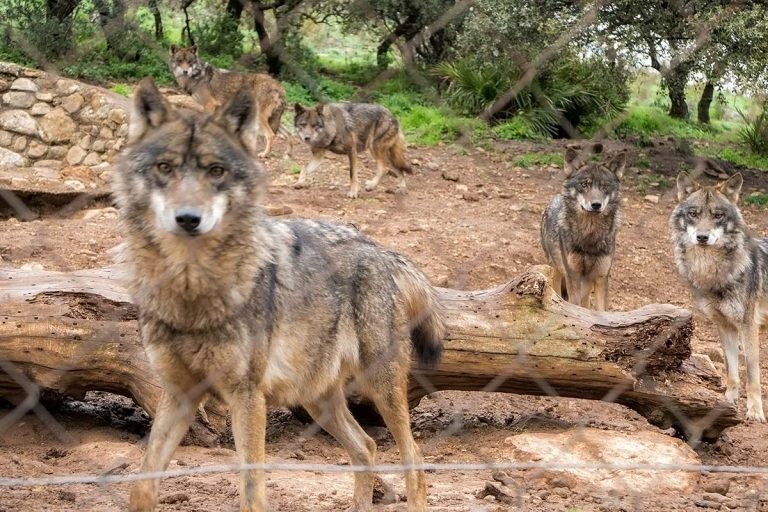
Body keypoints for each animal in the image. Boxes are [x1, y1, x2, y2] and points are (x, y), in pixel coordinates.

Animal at [114, 77, 445, 511]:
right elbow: (142, 484)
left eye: (216, 171)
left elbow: (252, 493)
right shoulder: (180, 394)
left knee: (415, 460)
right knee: (367, 447)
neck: (192, 292)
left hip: (382, 388)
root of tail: (382, 249)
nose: (188, 219)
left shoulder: (247, 397)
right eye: (164, 168)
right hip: (317, 400)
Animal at [540, 143, 626, 311]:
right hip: (557, 268)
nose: (596, 205)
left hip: (587, 282)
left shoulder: (601, 277)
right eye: (584, 184)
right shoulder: (573, 276)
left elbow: (600, 310)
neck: (589, 235)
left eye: (604, 187)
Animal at [671, 170, 766, 422]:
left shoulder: (748, 325)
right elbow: (731, 371)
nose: (702, 237)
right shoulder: (724, 325)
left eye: (718, 215)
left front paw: (755, 411)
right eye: (694, 213)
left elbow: (752, 373)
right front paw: (728, 403)